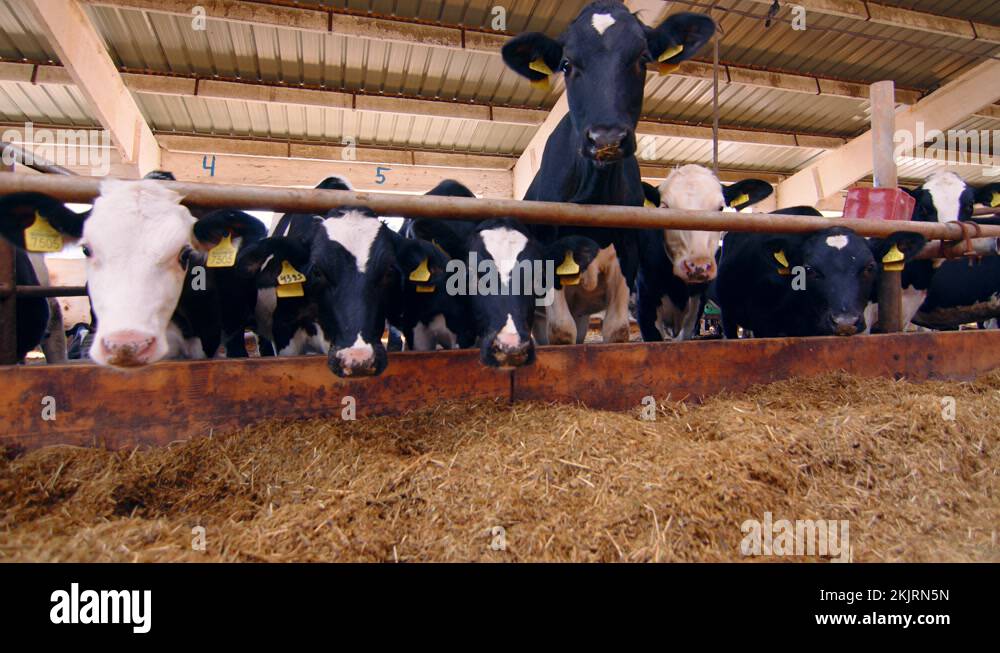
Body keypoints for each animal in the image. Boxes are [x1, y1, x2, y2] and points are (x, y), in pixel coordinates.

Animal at [501, 1, 715, 345]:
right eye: (565, 64)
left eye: (642, 58)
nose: (606, 138)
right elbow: (561, 332)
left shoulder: (627, 253)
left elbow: (616, 331)